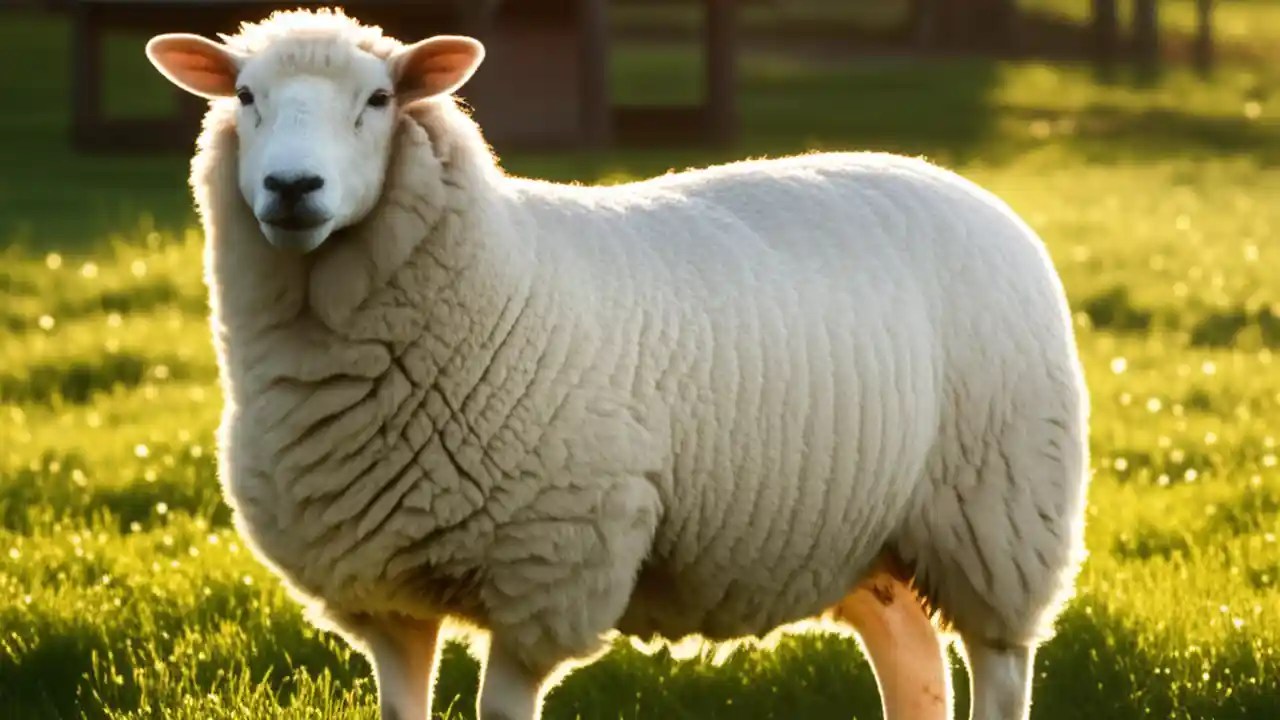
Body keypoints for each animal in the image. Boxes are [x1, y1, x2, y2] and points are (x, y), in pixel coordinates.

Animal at [144, 8, 1091, 720]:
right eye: (245, 95)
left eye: (378, 99)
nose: (291, 189)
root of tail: (958, 181)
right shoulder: (384, 591)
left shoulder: (548, 567)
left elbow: (501, 704)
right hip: (863, 536)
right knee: (912, 658)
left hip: (1001, 514)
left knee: (1001, 664)